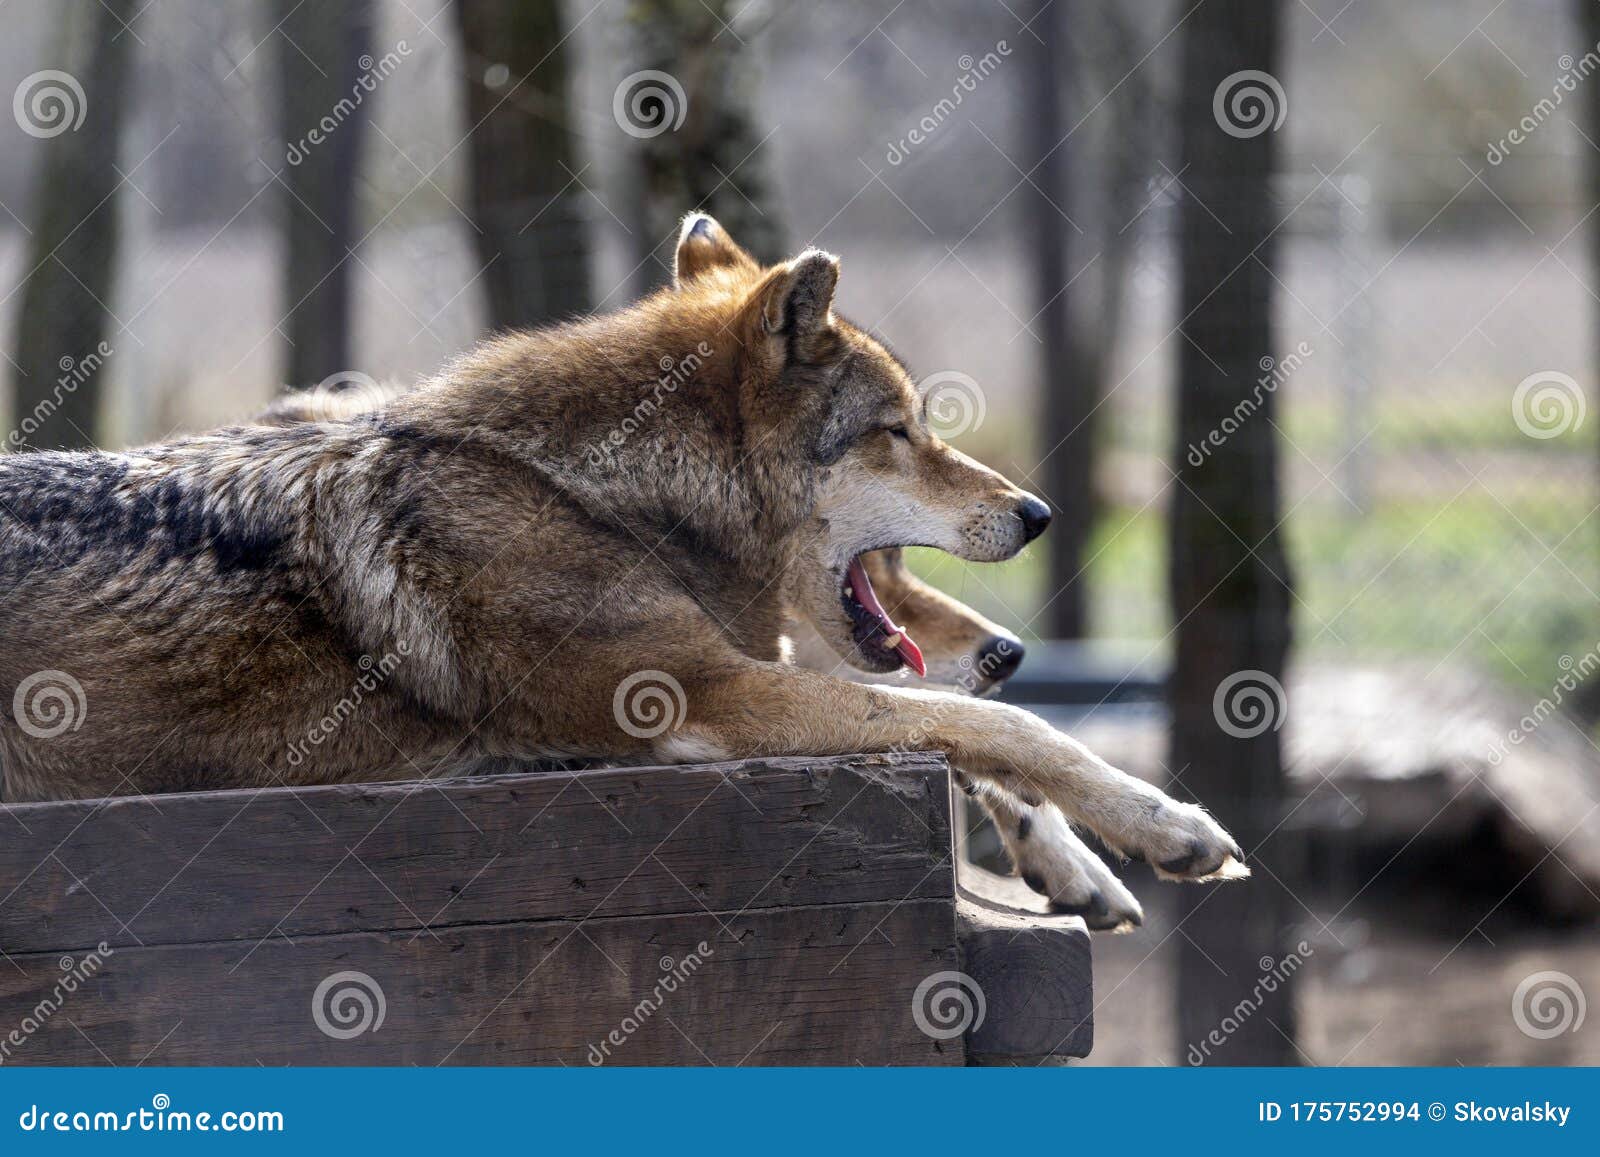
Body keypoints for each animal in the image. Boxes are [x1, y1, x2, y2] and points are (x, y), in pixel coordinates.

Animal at [0, 214, 1244, 929]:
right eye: (898, 431)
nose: (1036, 515)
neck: (591, 494)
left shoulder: (745, 671)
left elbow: (957, 732)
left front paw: (1082, 861)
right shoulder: (703, 692)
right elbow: (994, 728)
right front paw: (1162, 818)